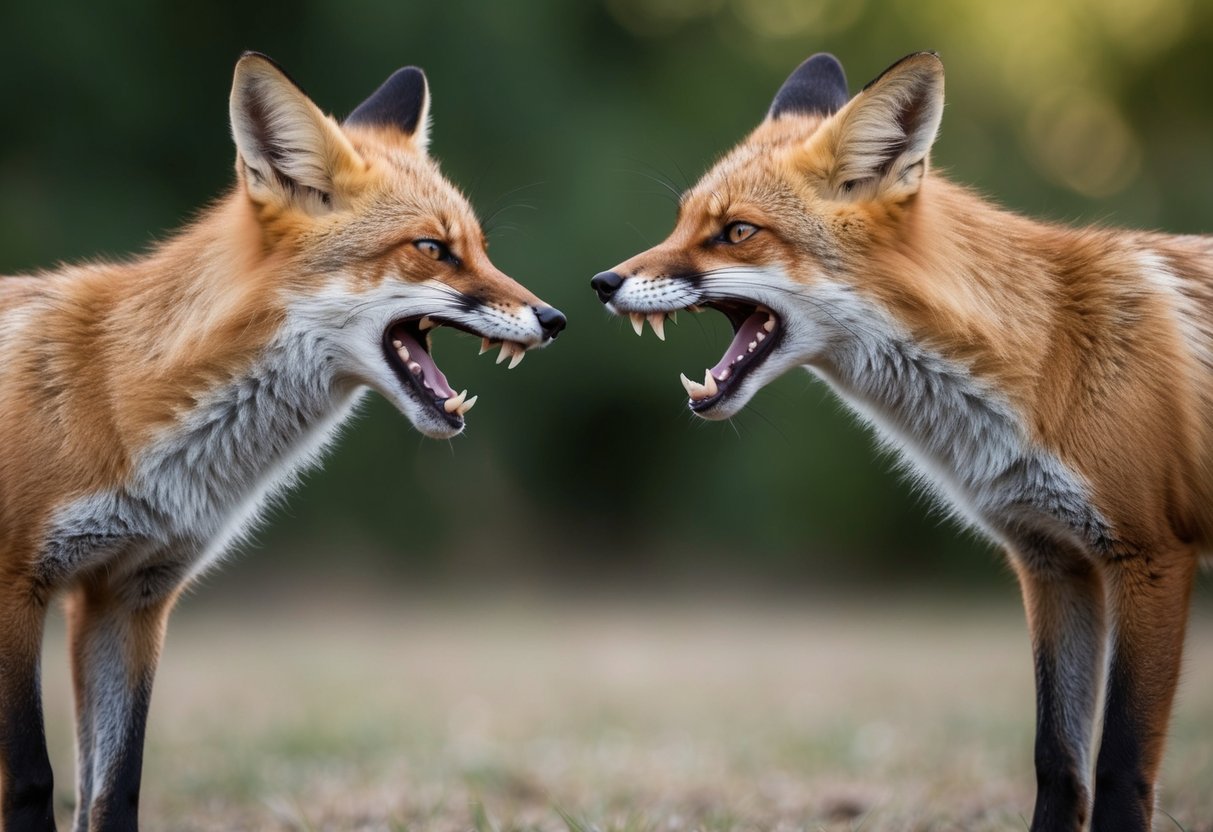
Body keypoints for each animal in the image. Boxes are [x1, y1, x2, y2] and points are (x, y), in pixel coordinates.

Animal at [0, 52, 565, 832]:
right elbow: (32, 779)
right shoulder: (16, 587)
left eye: (479, 249)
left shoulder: (130, 599)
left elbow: (114, 791)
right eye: (432, 249)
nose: (556, 317)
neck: (114, 395)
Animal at [592, 51, 1210, 832]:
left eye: (734, 232)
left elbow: (1119, 764)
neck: (1047, 357)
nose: (601, 282)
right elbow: (1057, 761)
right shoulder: (1051, 564)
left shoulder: (1150, 557)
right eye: (680, 223)